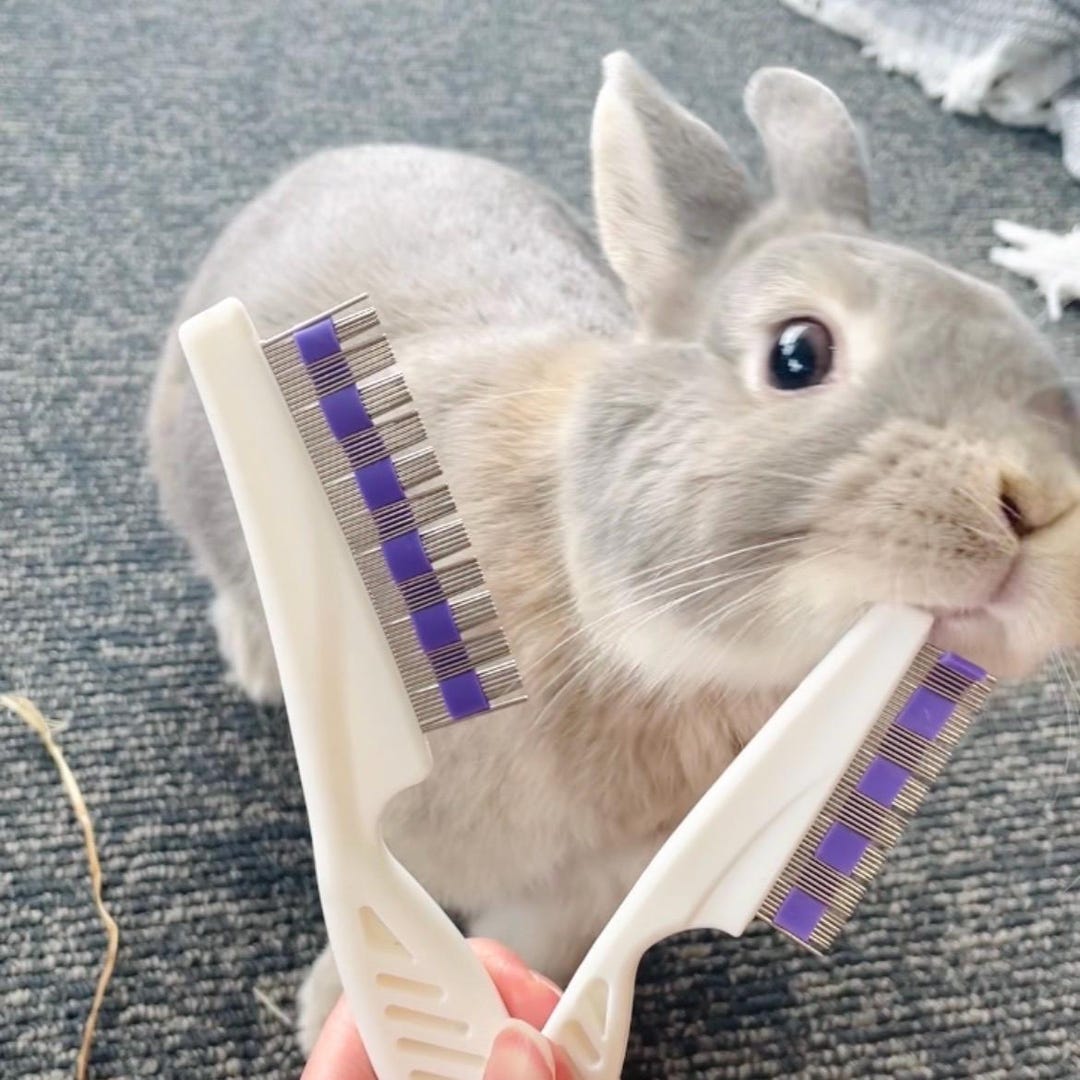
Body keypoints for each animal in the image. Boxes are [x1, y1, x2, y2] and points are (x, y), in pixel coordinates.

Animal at [147, 52, 1080, 1053]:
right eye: (798, 353)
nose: (1044, 500)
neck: (649, 654)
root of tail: (339, 159)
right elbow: (389, 905)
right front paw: (337, 1012)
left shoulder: (582, 893)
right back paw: (258, 664)